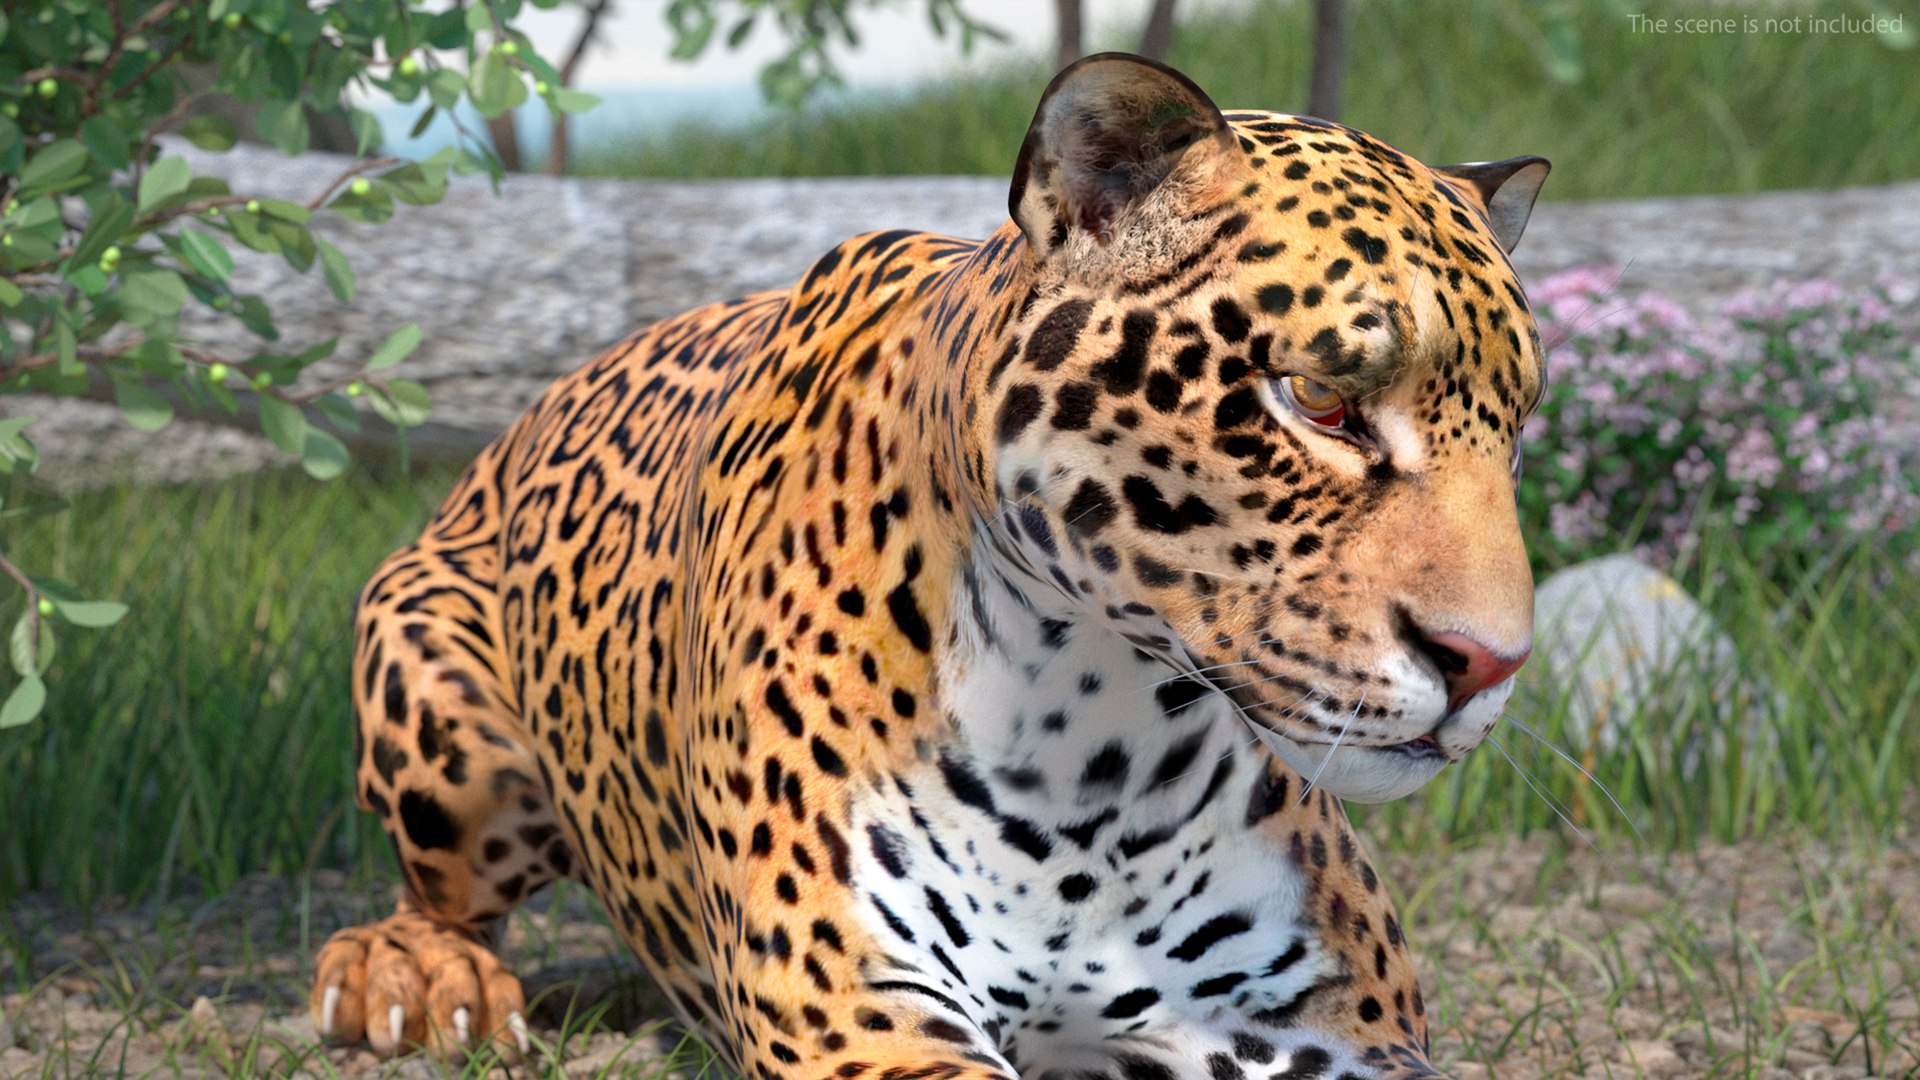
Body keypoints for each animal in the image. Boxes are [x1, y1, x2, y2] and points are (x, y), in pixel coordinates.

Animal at [310, 53, 1550, 1080]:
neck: (1093, 750)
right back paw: (414, 980)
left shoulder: (1331, 1028)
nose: (1488, 665)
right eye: (1320, 400)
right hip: (435, 694)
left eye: (1516, 430)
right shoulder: (865, 1017)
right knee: (438, 900)